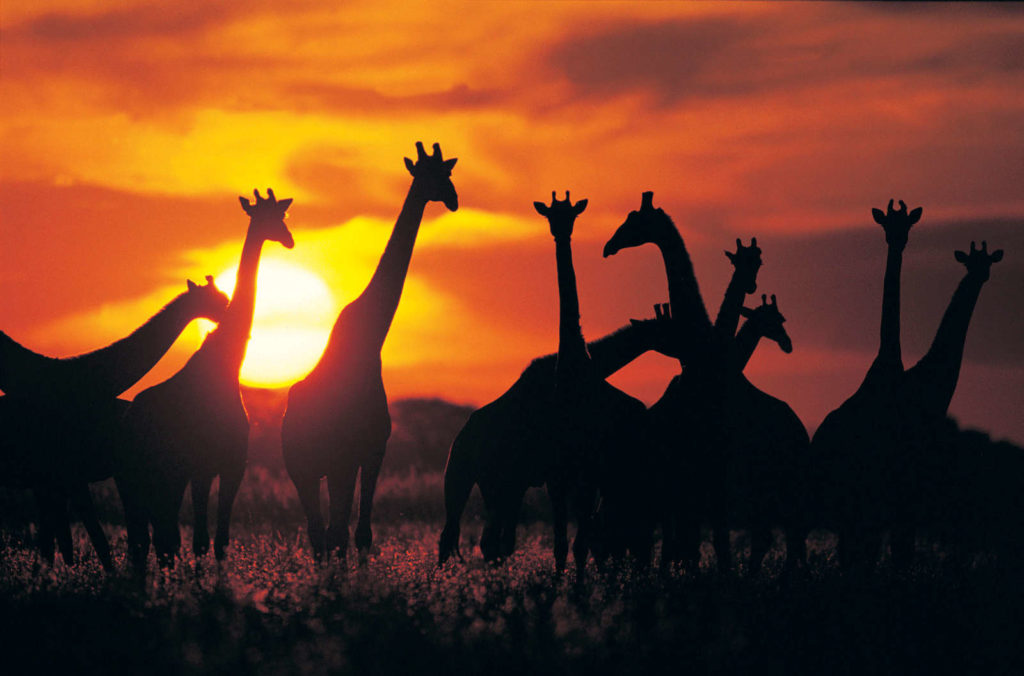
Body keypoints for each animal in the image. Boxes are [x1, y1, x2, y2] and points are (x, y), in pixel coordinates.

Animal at [116, 190, 293, 568]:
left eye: (283, 215)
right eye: (270, 217)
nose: (290, 240)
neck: (226, 366)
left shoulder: (225, 467)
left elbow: (214, 541)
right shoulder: (207, 467)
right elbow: (202, 541)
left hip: (150, 478)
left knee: (154, 537)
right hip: (145, 476)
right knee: (151, 537)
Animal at [282, 143, 456, 562]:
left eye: (448, 173)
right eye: (431, 175)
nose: (454, 200)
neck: (370, 339)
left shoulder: (363, 454)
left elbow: (355, 533)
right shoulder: (359, 453)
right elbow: (352, 533)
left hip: (314, 468)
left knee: (322, 531)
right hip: (316, 466)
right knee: (327, 531)